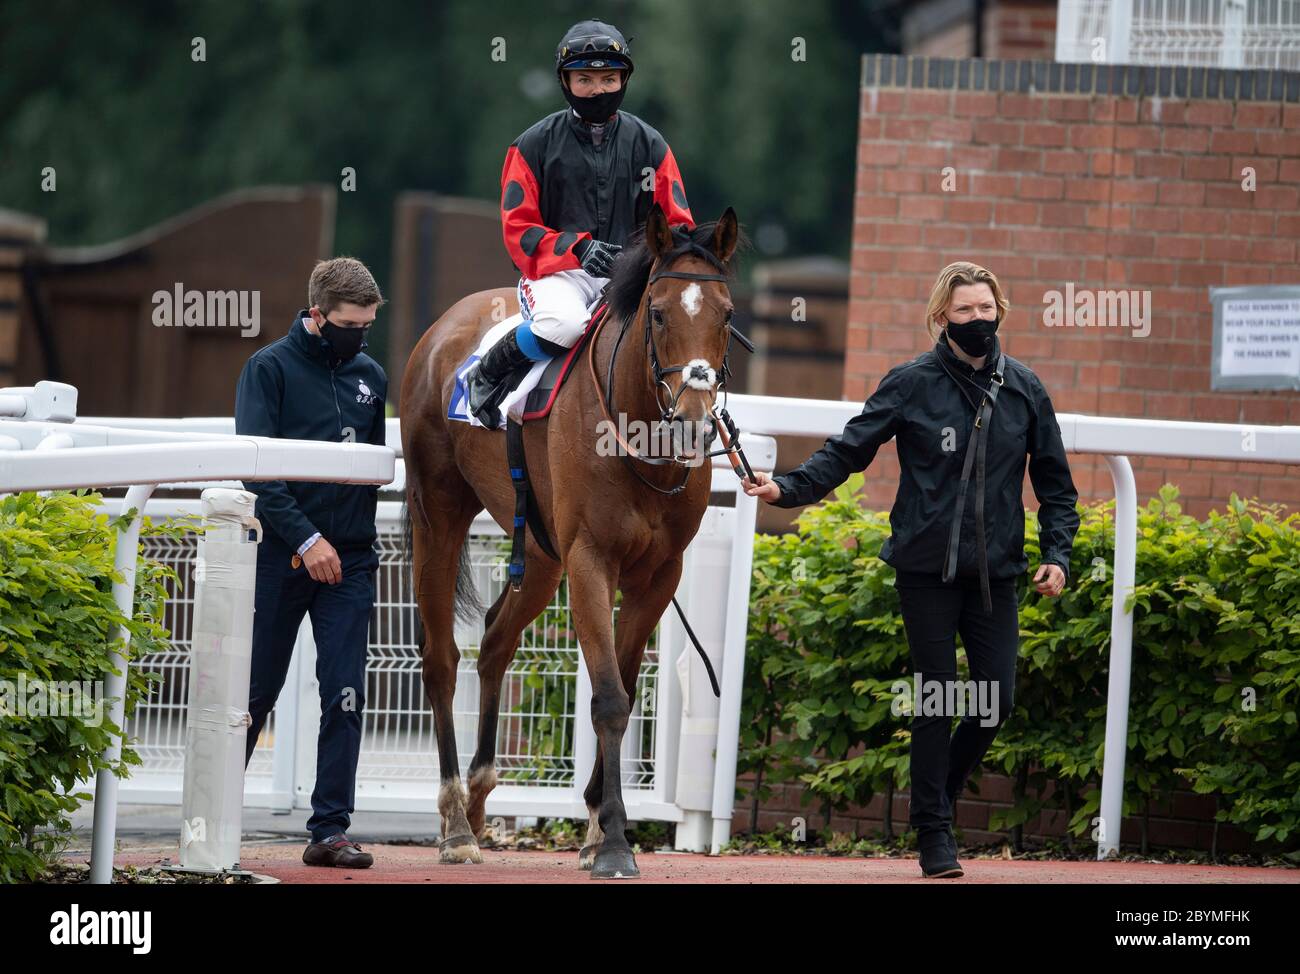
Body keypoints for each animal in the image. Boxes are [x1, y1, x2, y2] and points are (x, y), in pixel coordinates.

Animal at [399, 203, 742, 878]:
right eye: (658, 312)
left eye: (725, 314)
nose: (693, 419)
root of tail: (443, 330)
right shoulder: (590, 559)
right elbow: (608, 696)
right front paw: (612, 842)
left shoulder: (658, 573)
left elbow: (627, 689)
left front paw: (595, 829)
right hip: (440, 517)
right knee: (442, 659)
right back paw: (456, 826)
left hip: (537, 554)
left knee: (497, 642)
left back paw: (477, 800)